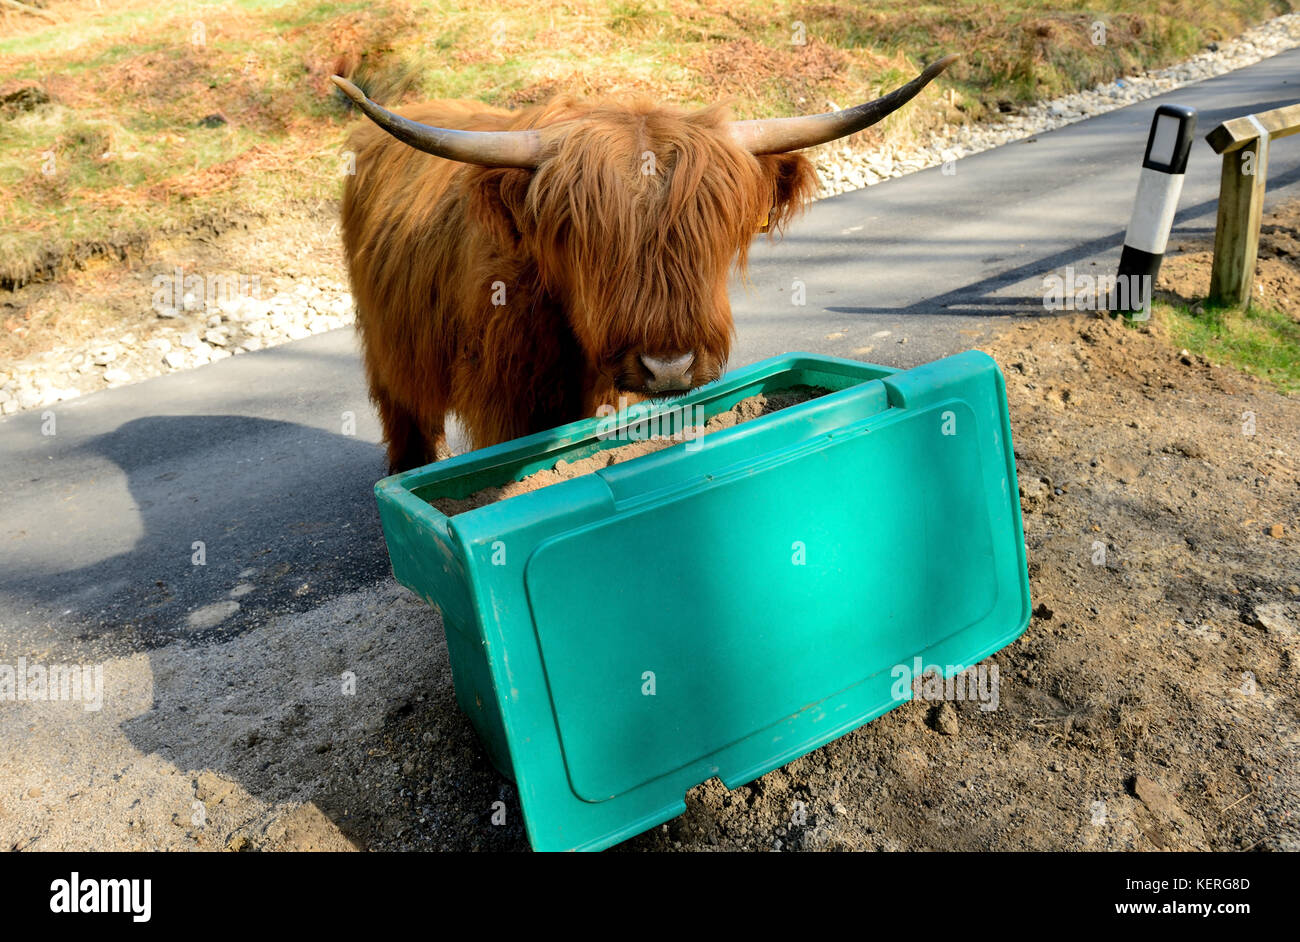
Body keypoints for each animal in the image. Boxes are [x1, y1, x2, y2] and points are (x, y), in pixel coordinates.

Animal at [333, 55, 957, 472]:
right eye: (590, 240)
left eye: (712, 235)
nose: (669, 368)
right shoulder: (503, 403)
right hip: (388, 347)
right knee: (403, 411)